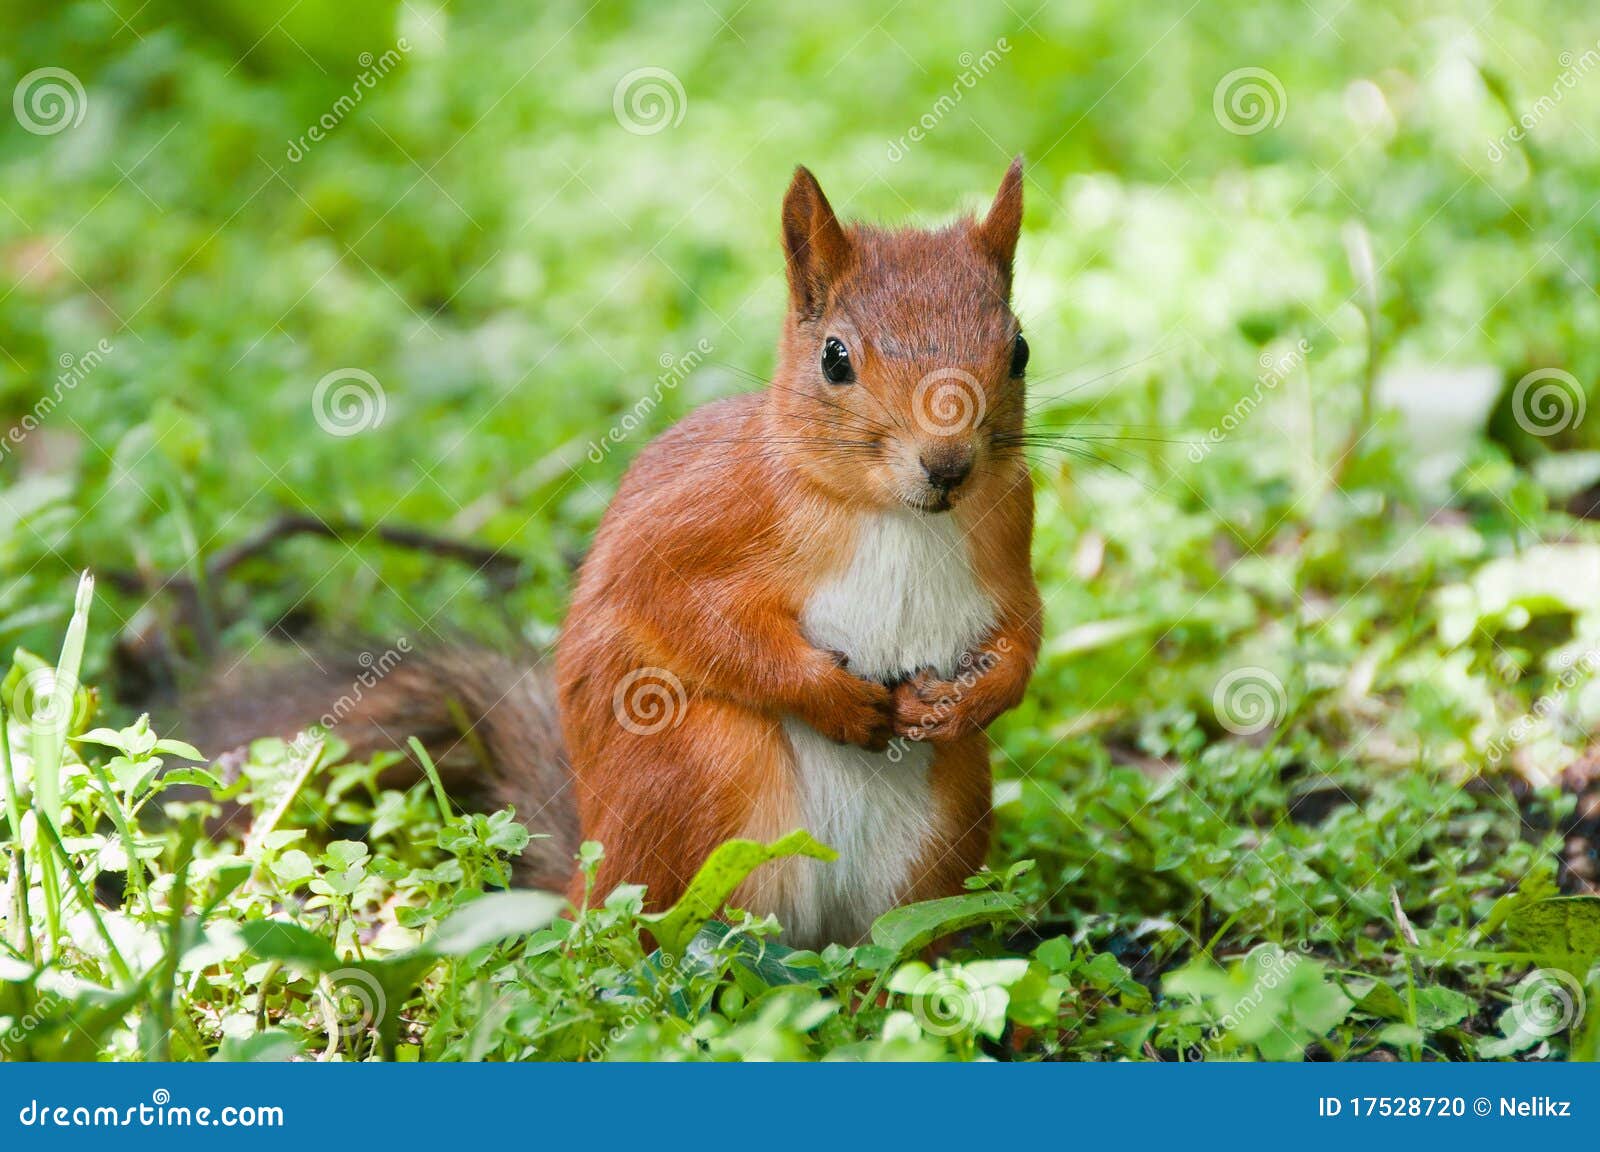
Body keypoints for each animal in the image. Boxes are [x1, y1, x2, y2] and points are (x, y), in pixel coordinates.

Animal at [179, 160, 1042, 950]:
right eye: (835, 359)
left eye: (1020, 350)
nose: (948, 465)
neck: (889, 513)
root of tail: (589, 881)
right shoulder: (698, 523)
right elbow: (677, 613)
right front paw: (831, 698)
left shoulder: (1011, 532)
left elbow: (1024, 632)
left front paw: (975, 696)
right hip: (704, 770)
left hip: (948, 815)